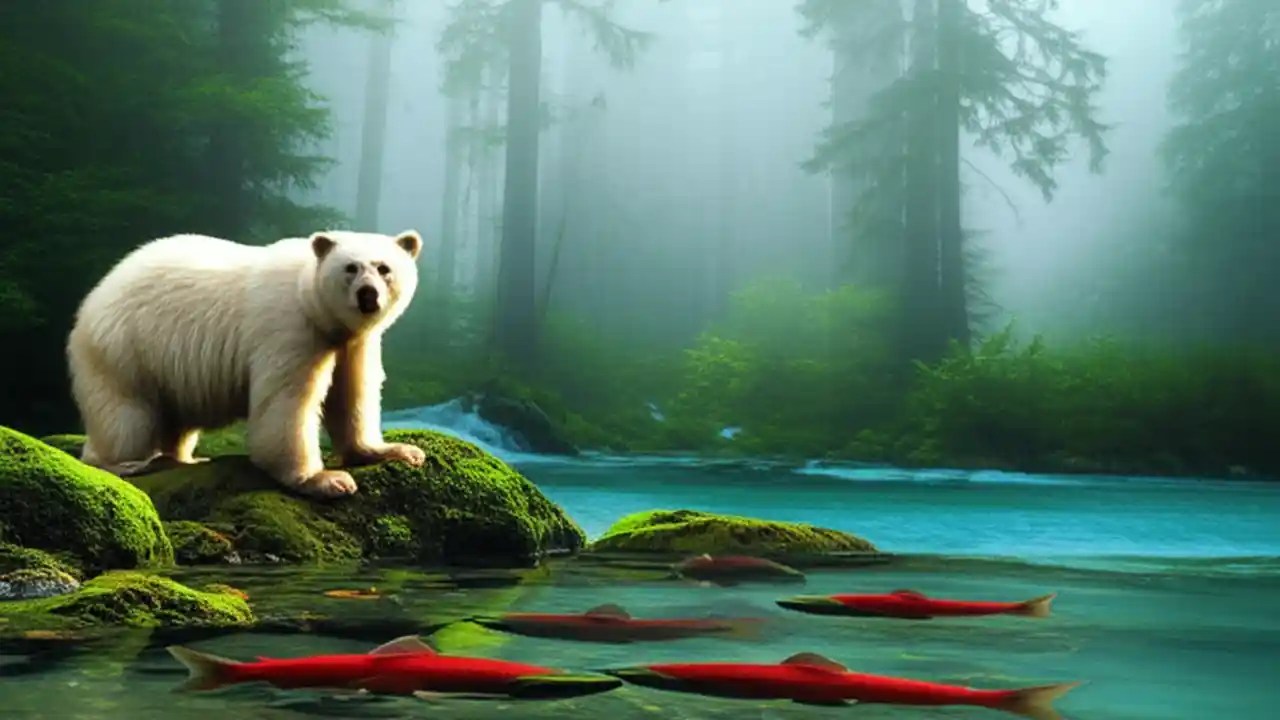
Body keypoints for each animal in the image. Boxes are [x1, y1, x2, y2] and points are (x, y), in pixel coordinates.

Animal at [66, 229, 428, 498]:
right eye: (350, 268)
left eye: (384, 268)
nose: (368, 295)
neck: (312, 303)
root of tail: (92, 298)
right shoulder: (289, 328)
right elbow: (286, 402)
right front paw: (325, 479)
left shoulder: (351, 342)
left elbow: (352, 392)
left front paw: (397, 450)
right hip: (125, 347)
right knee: (125, 414)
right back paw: (128, 462)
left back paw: (185, 457)